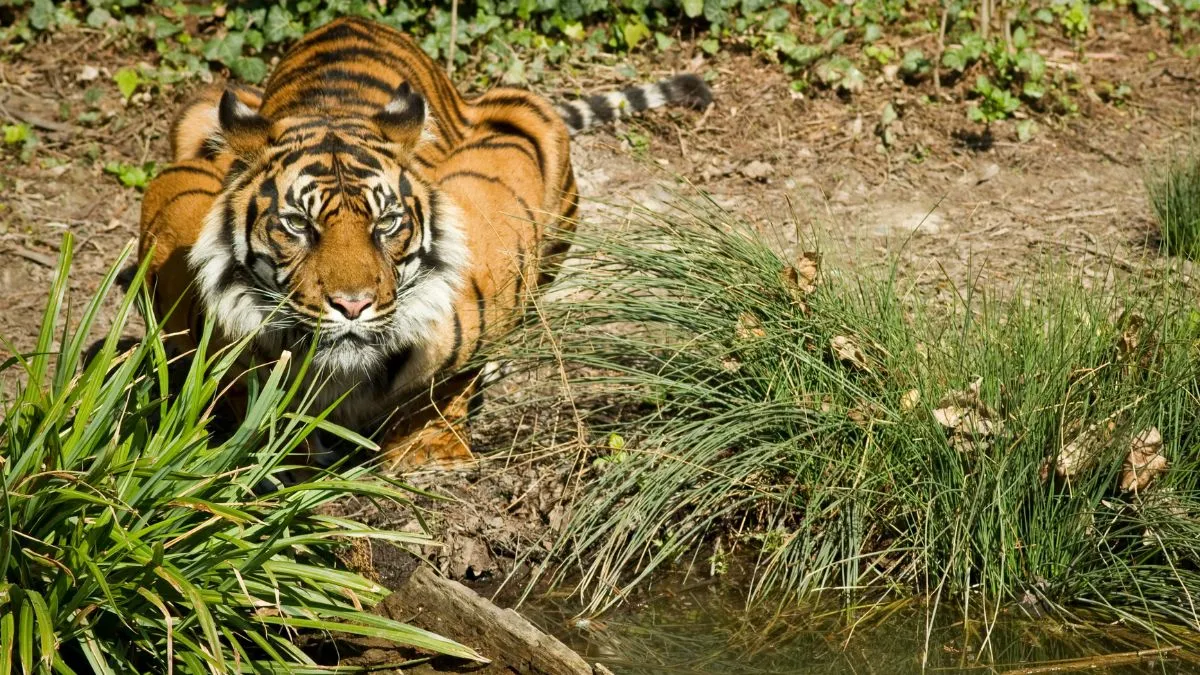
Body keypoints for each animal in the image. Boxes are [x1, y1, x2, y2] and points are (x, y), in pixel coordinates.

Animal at [137, 16, 711, 471]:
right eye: (298, 225)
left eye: (387, 222)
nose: (353, 305)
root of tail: (349, 21)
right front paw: (275, 455)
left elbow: (447, 382)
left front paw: (429, 451)